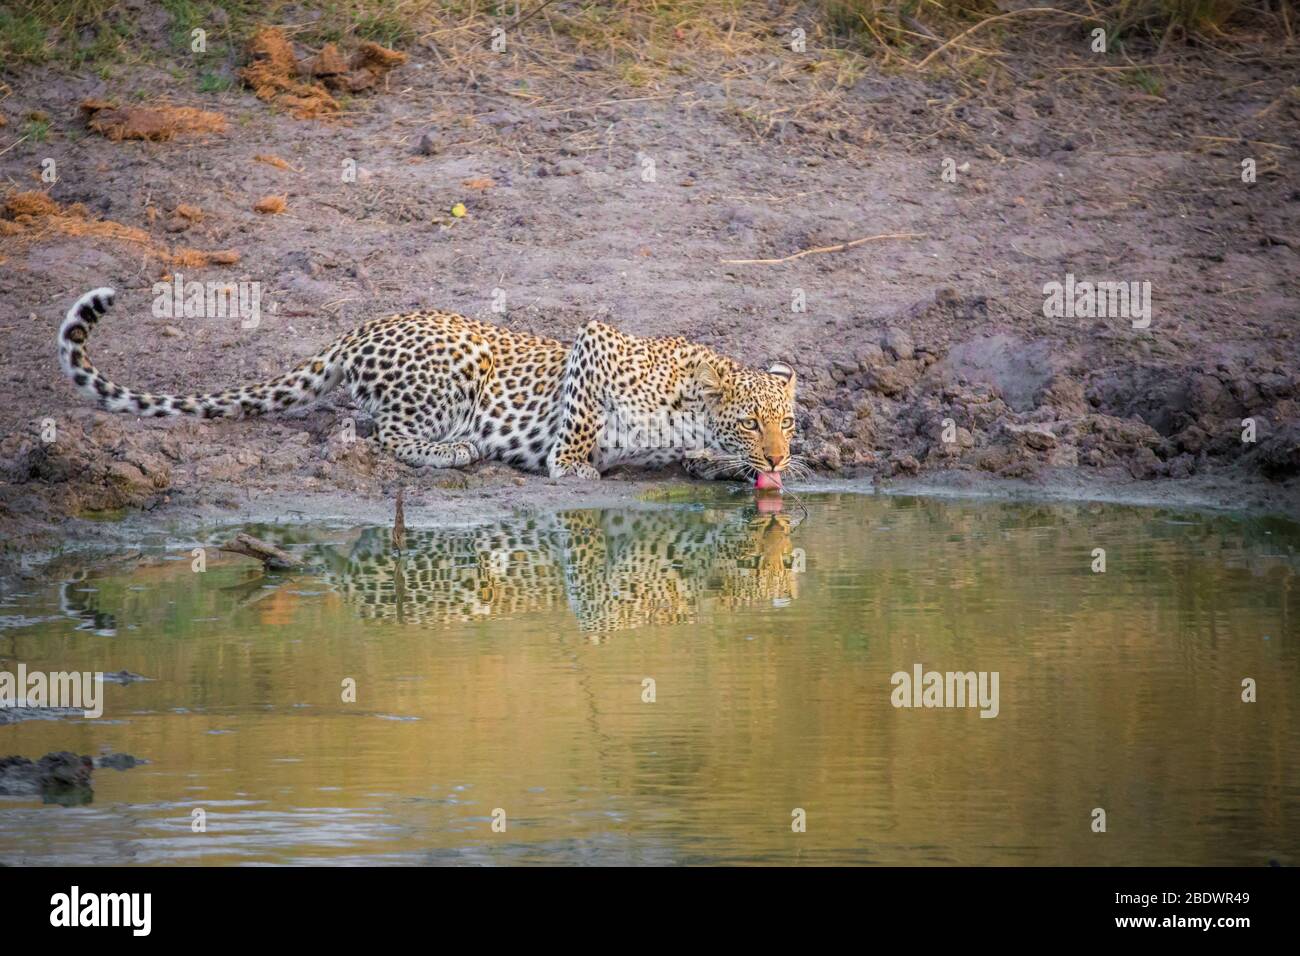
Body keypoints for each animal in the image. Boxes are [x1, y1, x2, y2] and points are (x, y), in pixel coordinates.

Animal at [58, 287, 805, 485]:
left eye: (788, 424)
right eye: (751, 421)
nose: (779, 456)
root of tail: (363, 326)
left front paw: (727, 468)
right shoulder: (595, 343)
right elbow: (579, 417)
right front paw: (570, 464)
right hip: (453, 368)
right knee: (388, 434)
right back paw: (458, 450)